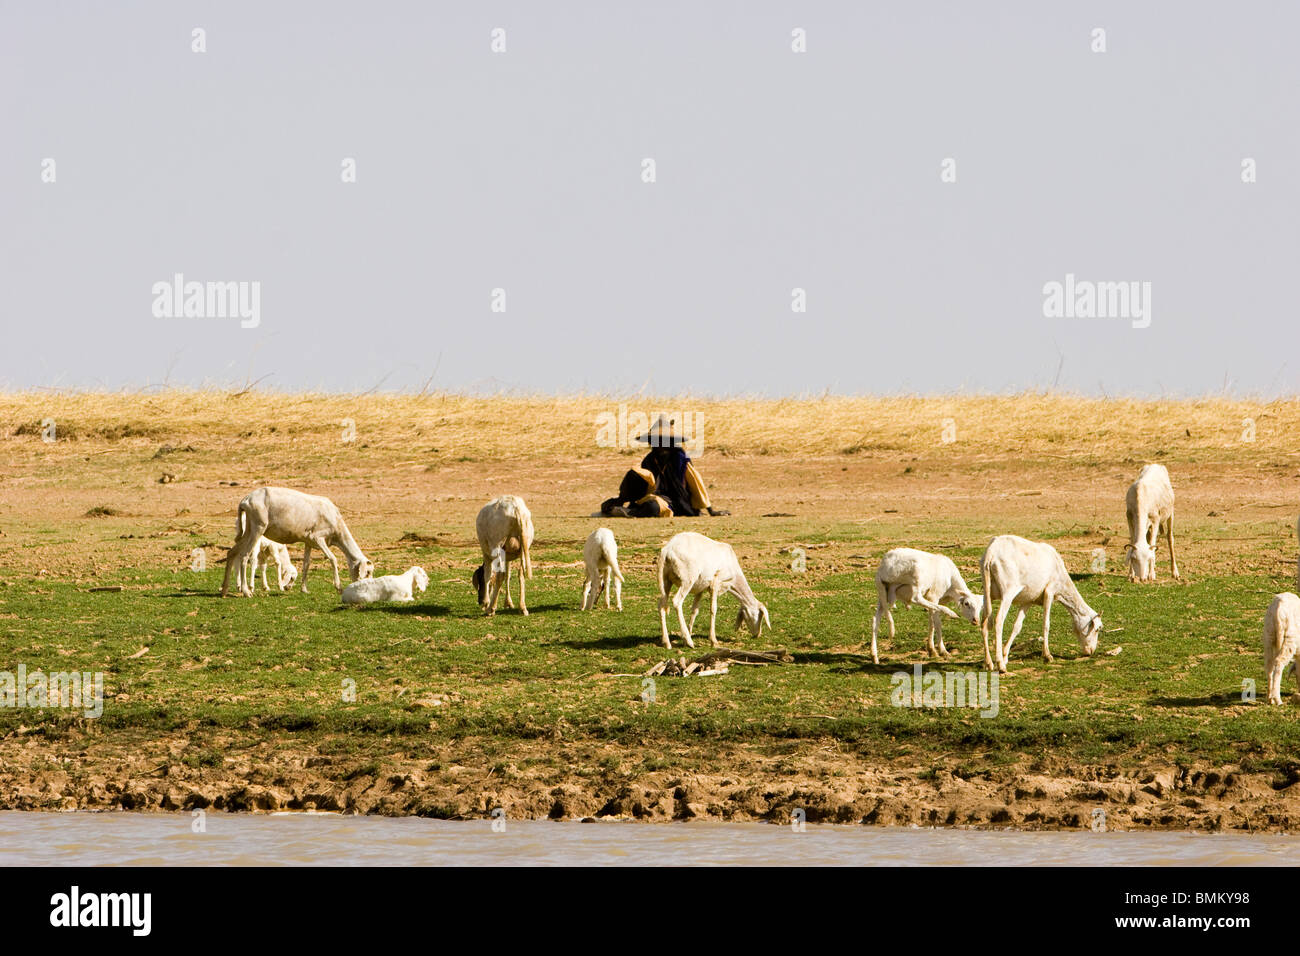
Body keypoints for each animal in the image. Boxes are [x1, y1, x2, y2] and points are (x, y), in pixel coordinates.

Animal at [220, 487, 374, 597]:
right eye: (367, 573)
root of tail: (245, 500)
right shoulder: (318, 538)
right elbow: (333, 559)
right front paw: (339, 587)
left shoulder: (309, 542)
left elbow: (306, 564)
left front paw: (304, 589)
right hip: (258, 527)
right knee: (244, 556)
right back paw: (246, 591)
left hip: (249, 529)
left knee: (231, 552)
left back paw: (224, 590)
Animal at [978, 534, 1102, 673]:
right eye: (1097, 629)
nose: (1090, 651)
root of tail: (991, 553)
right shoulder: (1050, 592)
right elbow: (1046, 624)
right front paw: (1047, 656)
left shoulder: (1028, 600)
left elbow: (1017, 626)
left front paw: (1005, 655)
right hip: (1008, 592)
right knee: (999, 620)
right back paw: (1000, 665)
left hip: (987, 593)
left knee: (984, 622)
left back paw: (988, 663)